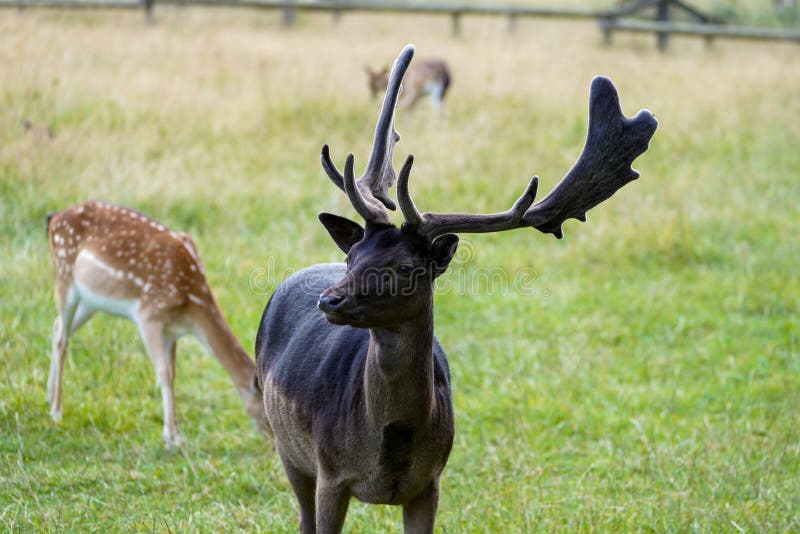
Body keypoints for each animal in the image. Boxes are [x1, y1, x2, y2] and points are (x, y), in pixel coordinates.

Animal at [46, 200, 269, 447]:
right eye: (265, 410)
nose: (273, 442)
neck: (191, 303)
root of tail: (54, 218)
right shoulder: (148, 314)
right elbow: (164, 372)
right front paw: (171, 438)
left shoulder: (171, 330)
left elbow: (173, 373)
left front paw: (177, 433)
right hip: (65, 276)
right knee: (62, 336)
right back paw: (56, 411)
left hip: (90, 301)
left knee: (57, 327)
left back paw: (48, 396)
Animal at [256, 44, 657, 533]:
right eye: (354, 257)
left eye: (407, 267)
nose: (330, 299)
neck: (390, 446)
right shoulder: (330, 472)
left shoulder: (430, 482)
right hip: (287, 447)